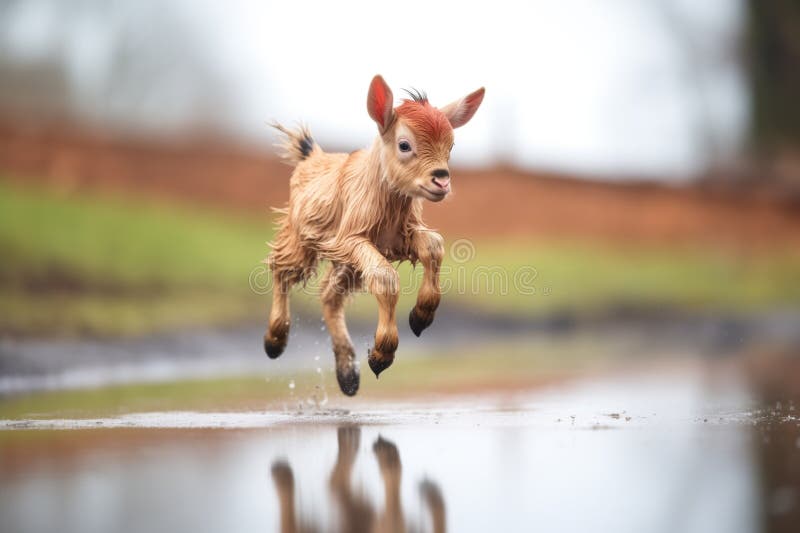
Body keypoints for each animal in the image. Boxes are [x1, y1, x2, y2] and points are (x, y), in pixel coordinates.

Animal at [264, 75, 484, 396]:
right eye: (404, 144)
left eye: (451, 146)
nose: (442, 180)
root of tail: (312, 155)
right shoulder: (348, 239)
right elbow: (385, 278)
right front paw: (382, 354)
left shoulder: (399, 236)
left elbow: (434, 246)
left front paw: (421, 316)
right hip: (301, 238)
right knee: (281, 270)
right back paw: (274, 341)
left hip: (348, 267)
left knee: (329, 295)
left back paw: (348, 375)